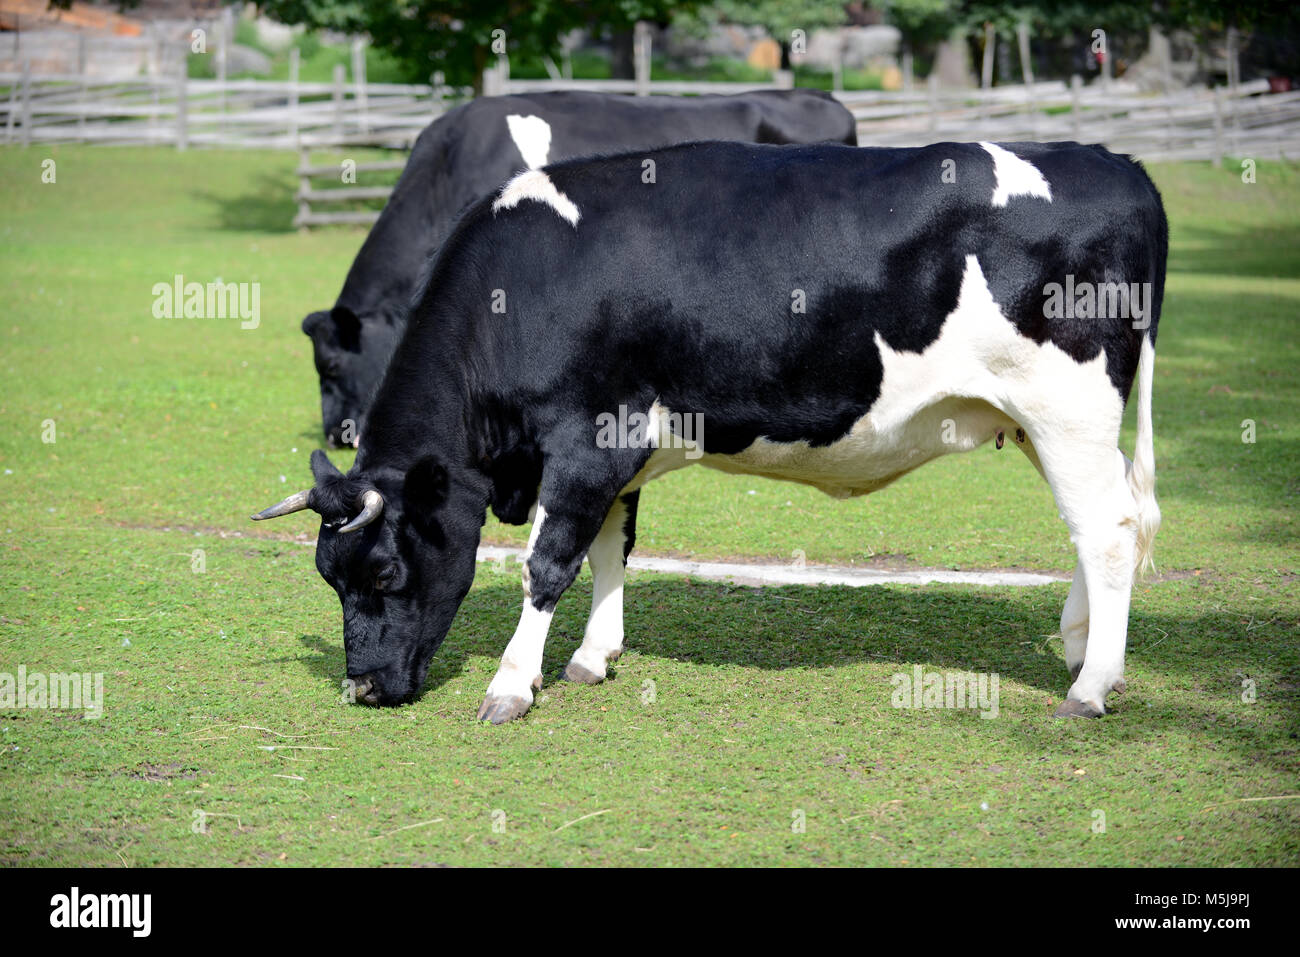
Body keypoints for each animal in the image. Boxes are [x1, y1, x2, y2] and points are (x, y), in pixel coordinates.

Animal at [257, 138, 1166, 724]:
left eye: (383, 568)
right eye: (329, 575)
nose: (364, 689)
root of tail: (1113, 160)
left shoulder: (586, 439)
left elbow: (548, 563)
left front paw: (513, 683)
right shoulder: (619, 451)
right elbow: (611, 547)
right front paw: (594, 656)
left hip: (1067, 404)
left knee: (1109, 528)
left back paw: (1090, 687)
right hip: (1052, 420)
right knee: (1099, 522)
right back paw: (1080, 646)